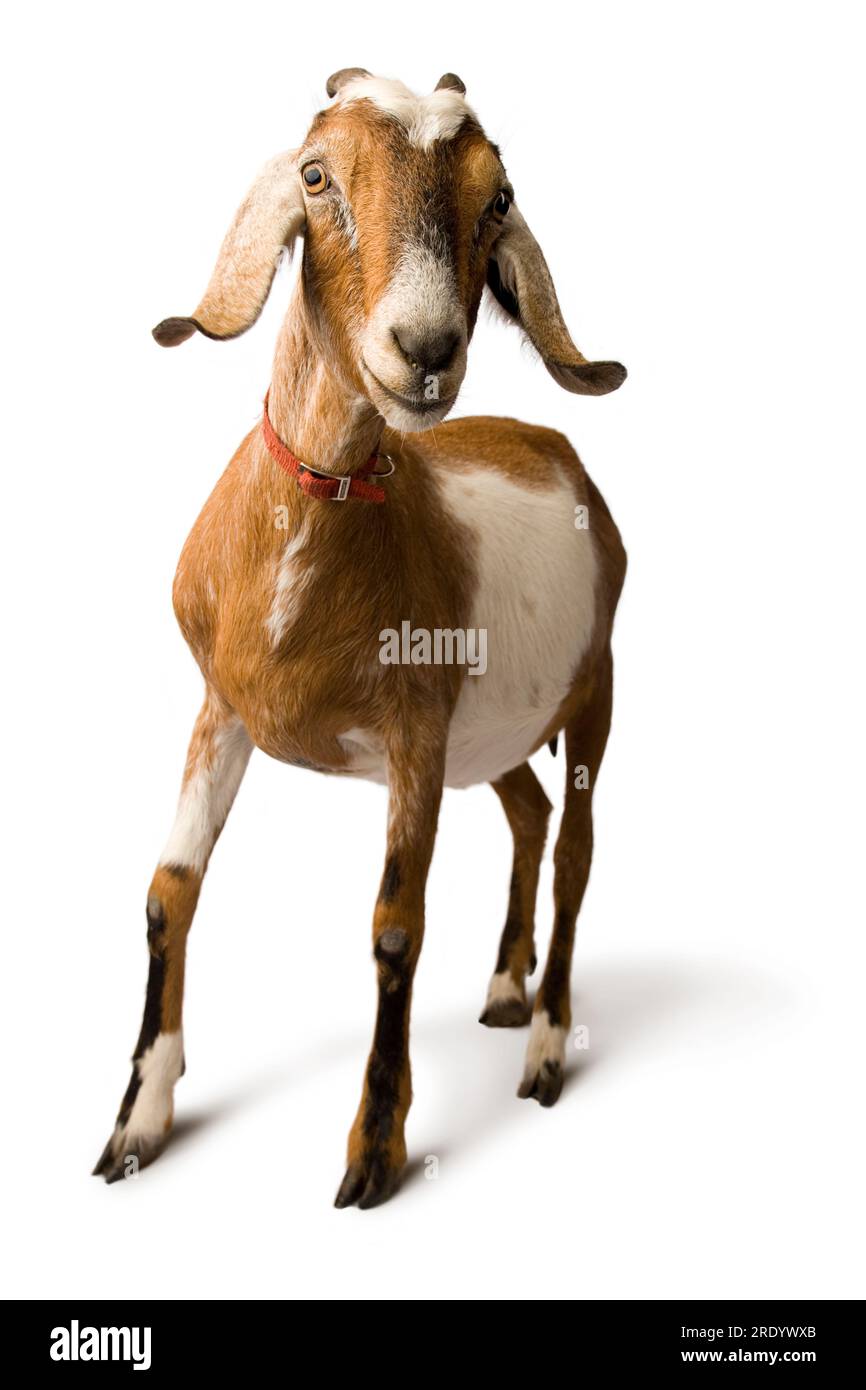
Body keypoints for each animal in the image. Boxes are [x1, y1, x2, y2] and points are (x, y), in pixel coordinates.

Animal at [94, 70, 627, 1208]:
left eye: (497, 196)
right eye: (314, 175)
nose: (424, 354)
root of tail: (556, 448)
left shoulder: (413, 736)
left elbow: (394, 926)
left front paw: (375, 1150)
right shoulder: (222, 709)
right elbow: (168, 890)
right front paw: (136, 1124)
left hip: (596, 689)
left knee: (574, 848)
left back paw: (545, 1048)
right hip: (494, 732)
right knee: (528, 813)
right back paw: (505, 988)